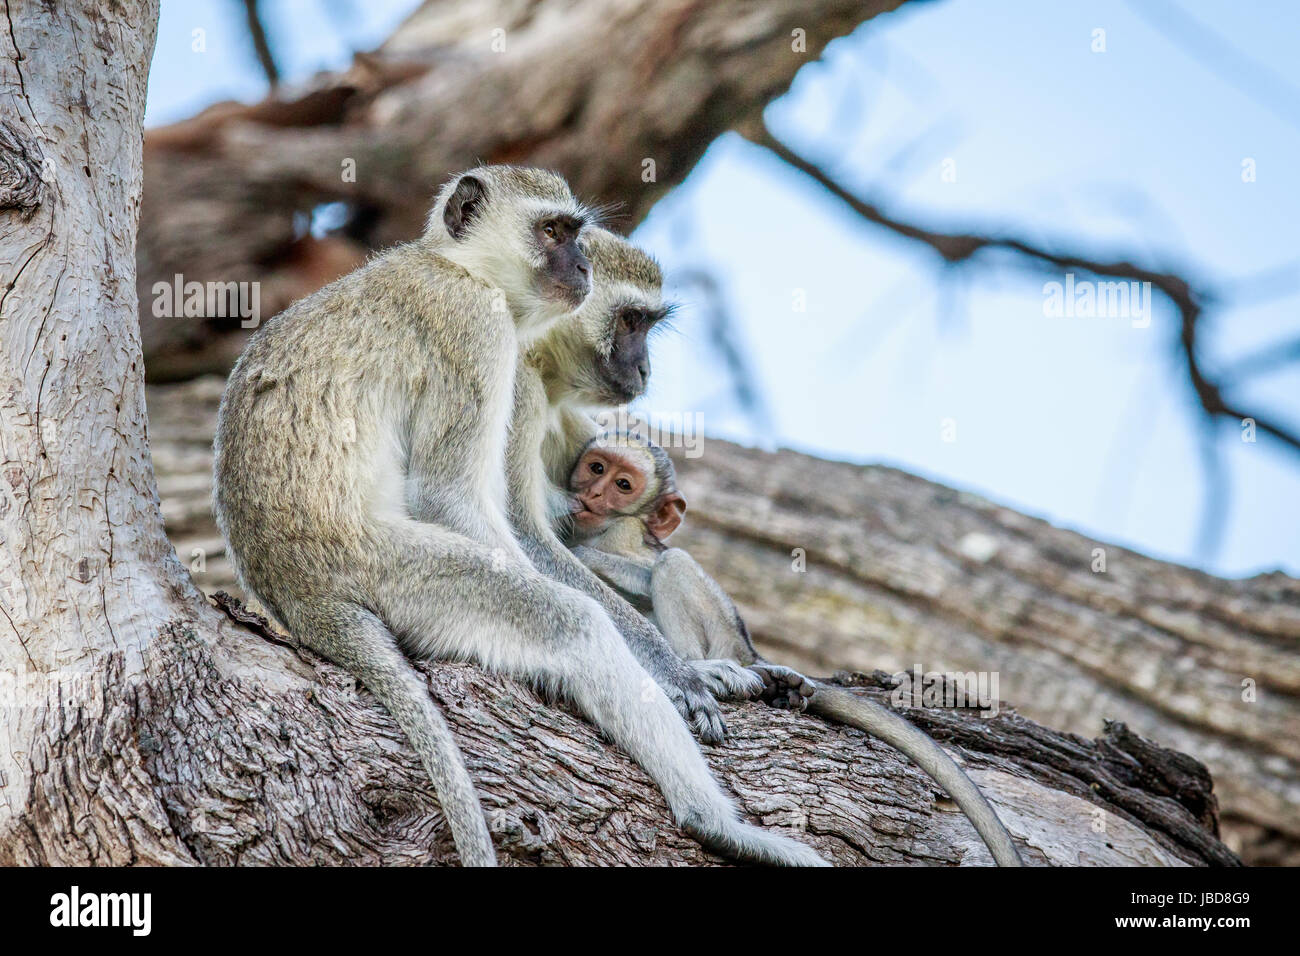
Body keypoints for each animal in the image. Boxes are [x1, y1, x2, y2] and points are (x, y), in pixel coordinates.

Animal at [215, 166, 825, 868]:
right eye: (555, 231)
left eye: (577, 234)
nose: (581, 265)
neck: (454, 264)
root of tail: (299, 592)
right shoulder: (481, 335)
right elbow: (460, 501)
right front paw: (681, 672)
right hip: (396, 571)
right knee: (571, 622)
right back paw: (714, 822)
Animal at [563, 431, 1026, 867]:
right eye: (595, 467)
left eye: (623, 484)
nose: (593, 494)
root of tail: (749, 650)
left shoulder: (626, 533)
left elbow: (639, 567)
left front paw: (582, 553)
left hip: (726, 632)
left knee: (672, 565)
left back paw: (706, 668)